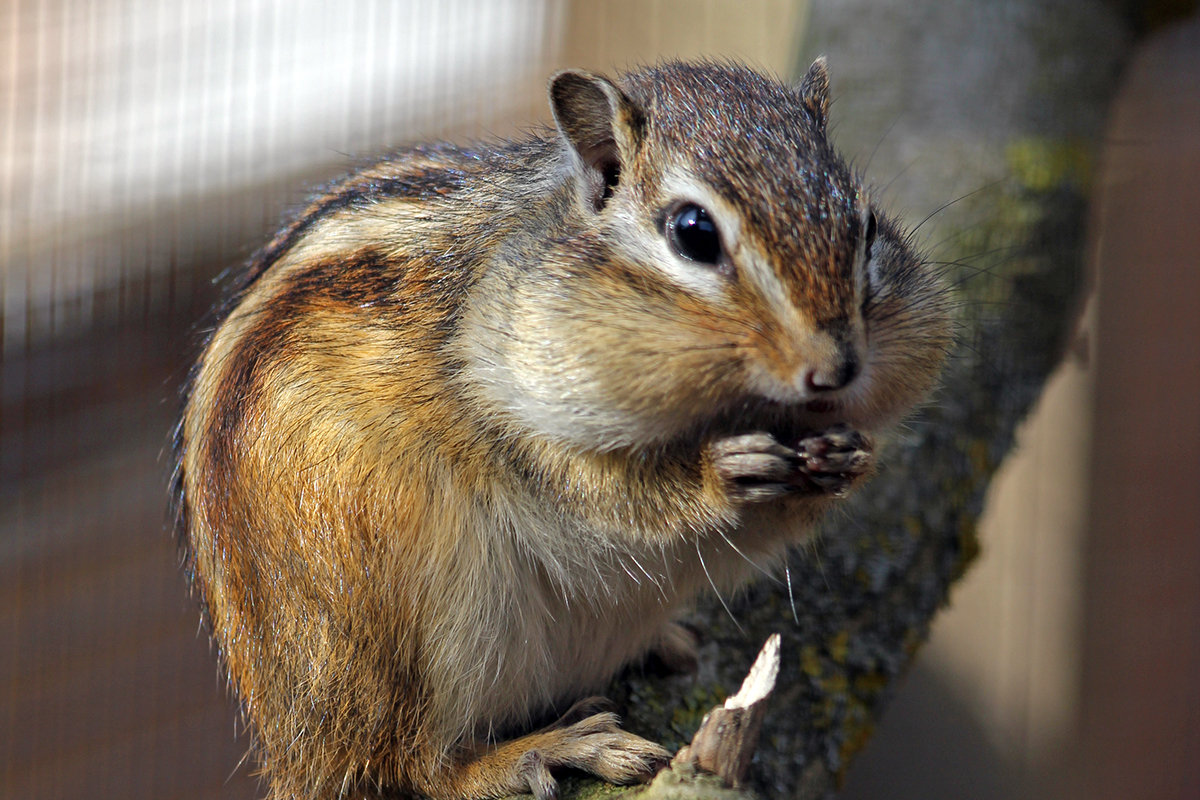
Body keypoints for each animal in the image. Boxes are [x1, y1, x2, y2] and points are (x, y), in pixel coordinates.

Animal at [174, 58, 952, 800]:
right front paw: (717, 475)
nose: (836, 368)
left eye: (867, 226)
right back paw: (547, 749)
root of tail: (293, 749)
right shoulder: (509, 409)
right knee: (415, 764)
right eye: (694, 233)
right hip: (407, 592)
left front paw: (850, 456)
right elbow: (602, 489)